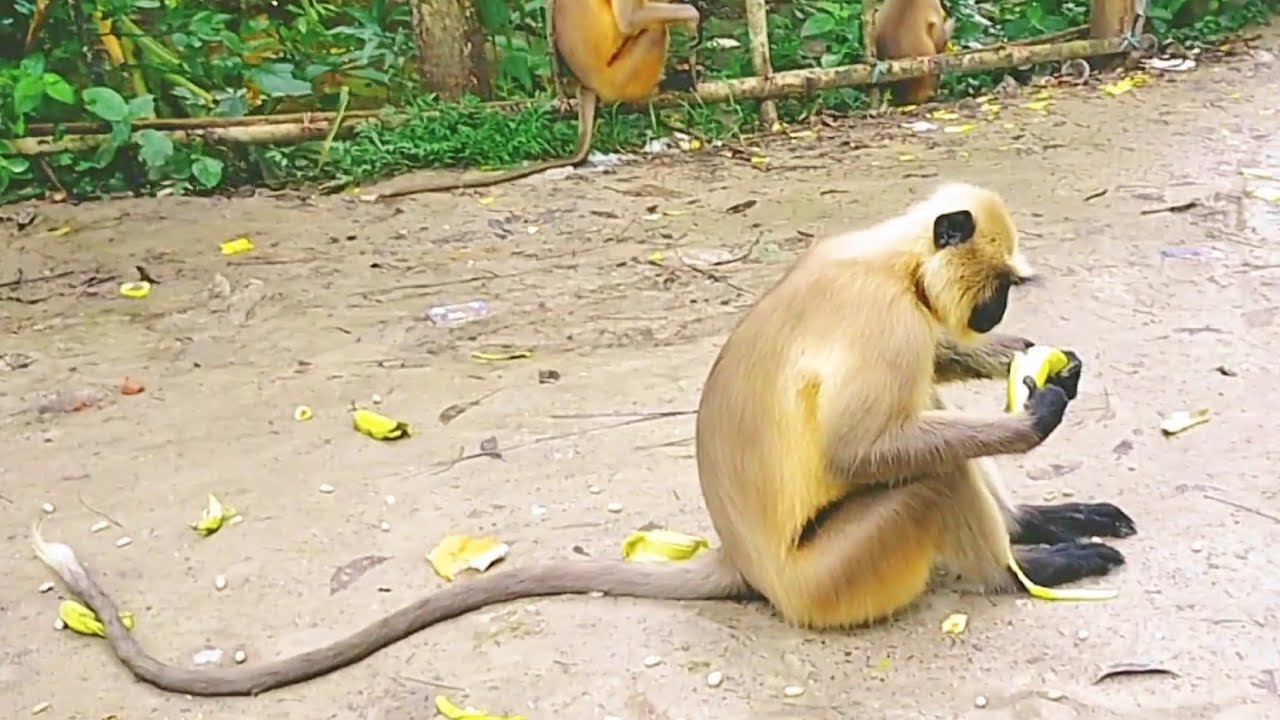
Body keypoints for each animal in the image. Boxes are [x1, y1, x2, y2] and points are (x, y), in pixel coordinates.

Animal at [30, 182, 1134, 697]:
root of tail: (744, 567)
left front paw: (1030, 367)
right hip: (833, 585)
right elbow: (862, 452)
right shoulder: (881, 326)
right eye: (992, 287)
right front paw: (1031, 416)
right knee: (926, 480)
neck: (891, 264)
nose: (997, 316)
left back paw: (1043, 527)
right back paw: (1022, 570)